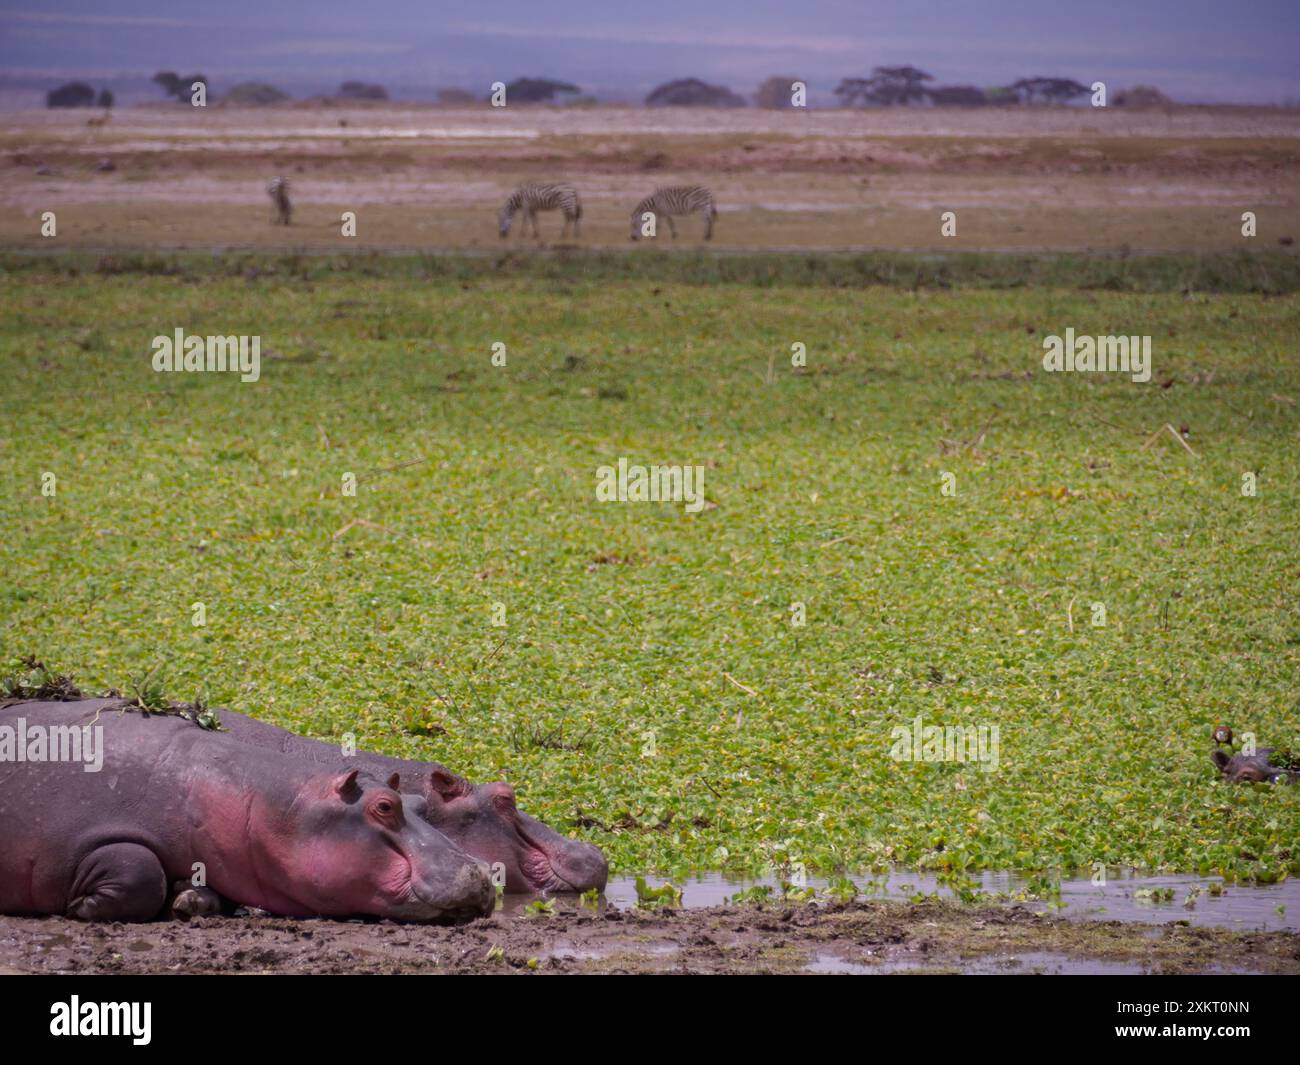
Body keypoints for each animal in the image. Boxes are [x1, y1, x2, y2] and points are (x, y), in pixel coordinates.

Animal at [0, 699, 494, 922]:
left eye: (417, 803)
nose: (479, 872)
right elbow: (137, 866)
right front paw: (78, 907)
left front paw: (190, 898)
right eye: (384, 807)